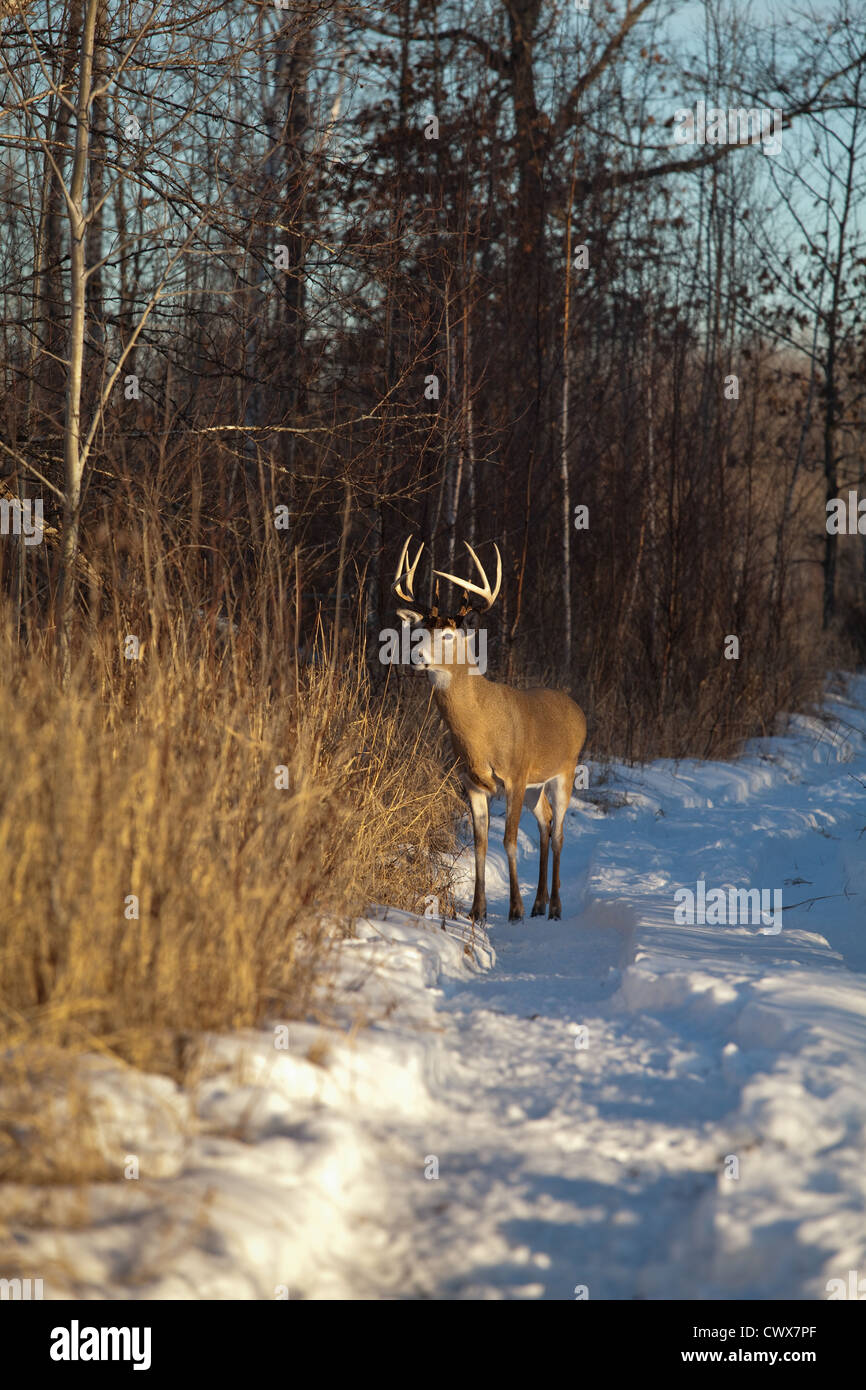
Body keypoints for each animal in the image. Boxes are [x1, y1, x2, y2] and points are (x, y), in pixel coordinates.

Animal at [394, 536, 587, 924]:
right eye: (419, 631)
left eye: (448, 635)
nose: (415, 657)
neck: (479, 729)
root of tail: (577, 710)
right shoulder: (471, 782)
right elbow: (481, 843)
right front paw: (477, 910)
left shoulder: (514, 775)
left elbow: (508, 840)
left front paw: (514, 908)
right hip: (536, 785)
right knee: (545, 823)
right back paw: (540, 903)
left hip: (564, 771)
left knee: (559, 832)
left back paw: (554, 907)